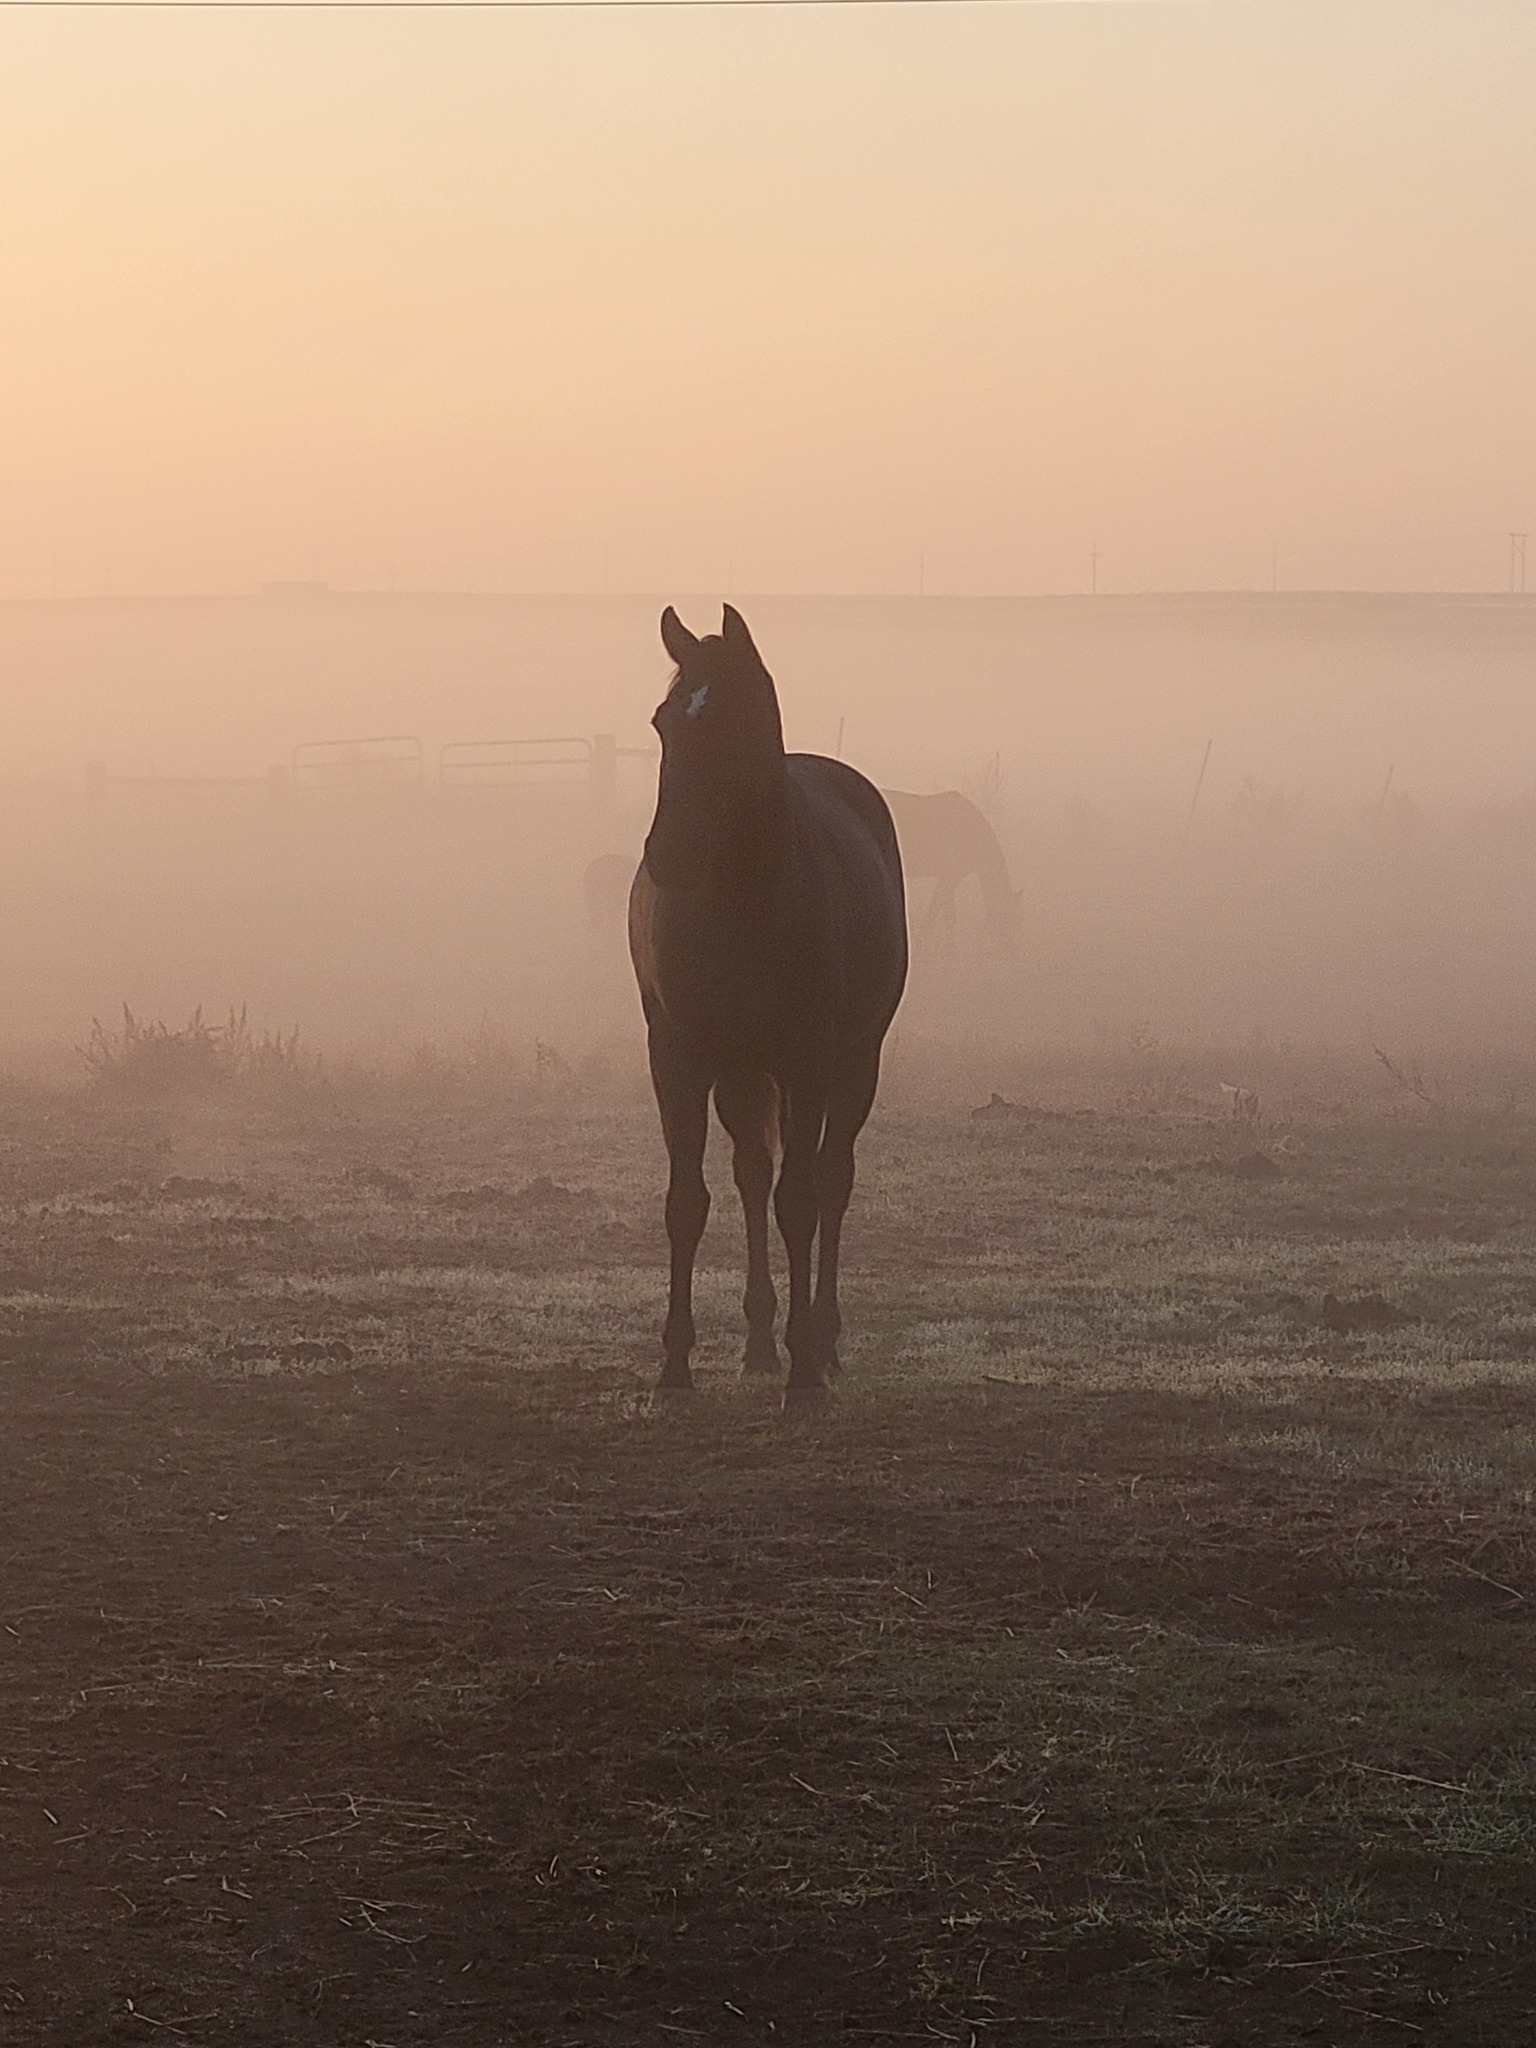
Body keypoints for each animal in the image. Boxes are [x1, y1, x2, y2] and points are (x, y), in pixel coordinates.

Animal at [628, 604, 908, 1411]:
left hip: (853, 1064)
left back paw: (824, 1341)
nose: (668, 854)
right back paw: (759, 1344)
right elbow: (688, 1201)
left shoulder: (809, 1061)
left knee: (831, 1179)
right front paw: (675, 1370)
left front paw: (806, 1376)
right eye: (663, 721)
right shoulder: (679, 1057)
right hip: (741, 1072)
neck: (744, 904)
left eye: (735, 718)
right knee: (752, 1174)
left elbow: (803, 1202)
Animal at [881, 788, 1021, 955]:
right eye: (1008, 921)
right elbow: (936, 915)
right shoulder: (947, 878)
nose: (1013, 953)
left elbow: (947, 917)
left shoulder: (951, 880)